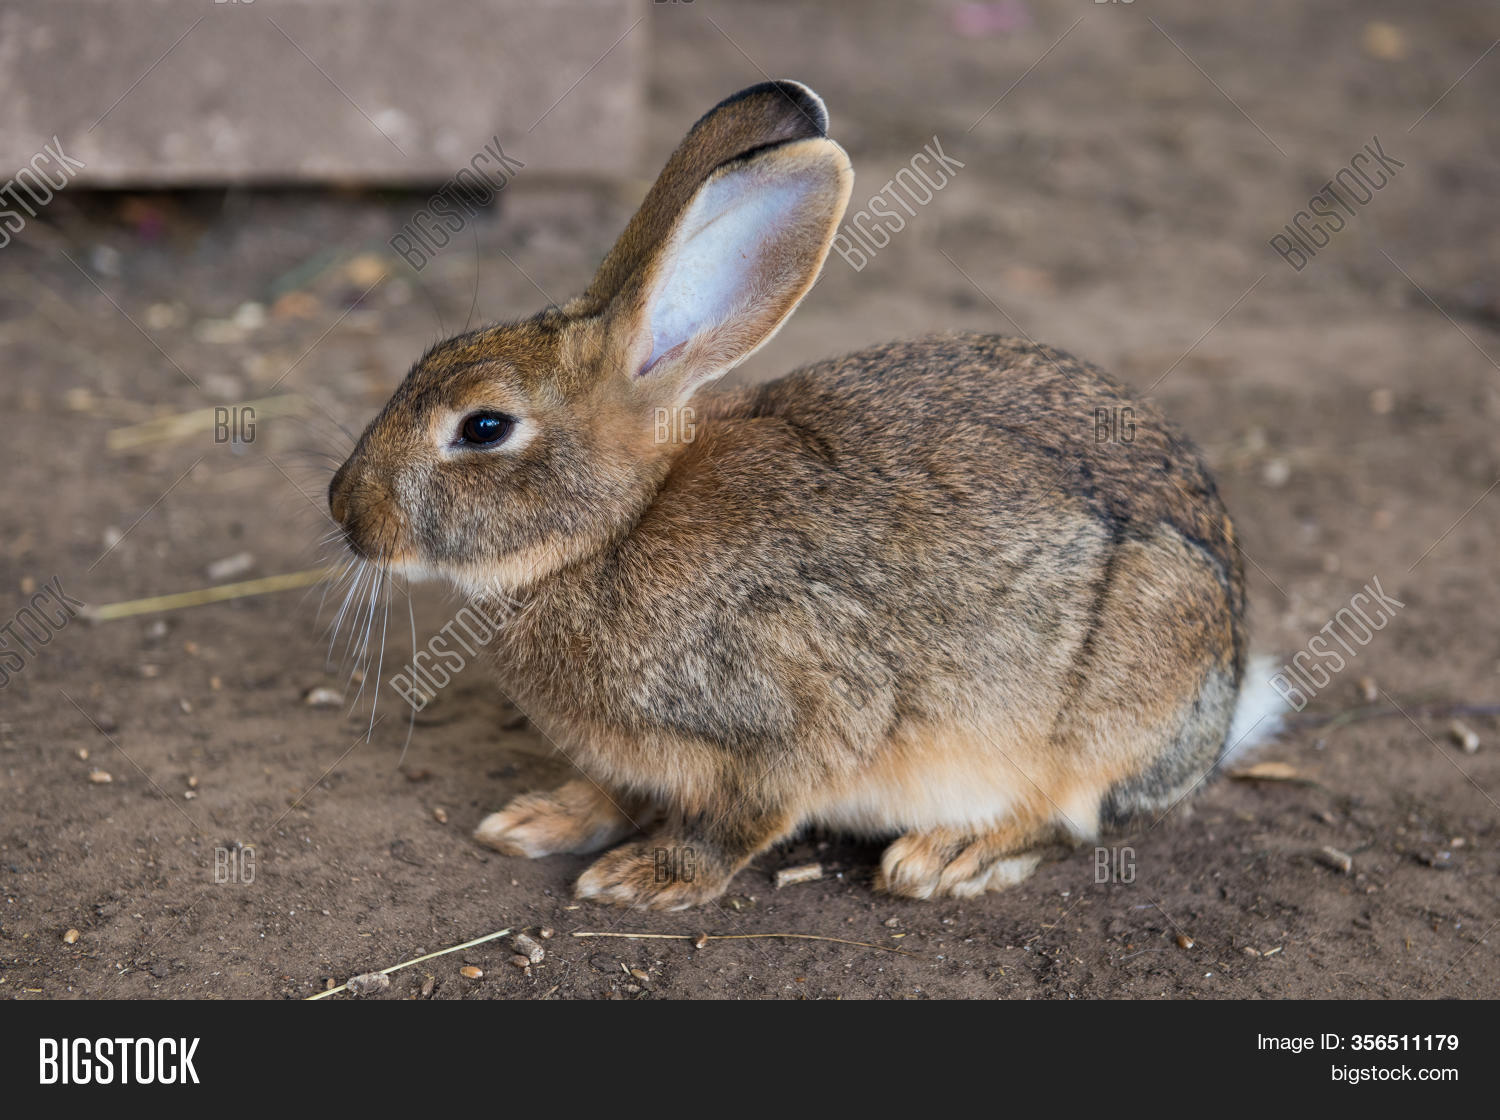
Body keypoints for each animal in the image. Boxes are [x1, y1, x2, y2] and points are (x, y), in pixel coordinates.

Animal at [328, 79, 1282, 910]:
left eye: (483, 427)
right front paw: (539, 821)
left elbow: (746, 817)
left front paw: (647, 878)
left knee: (1072, 817)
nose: (345, 510)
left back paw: (944, 856)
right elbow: (615, 790)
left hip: (1109, 696)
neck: (618, 528)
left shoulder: (795, 716)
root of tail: (1228, 689)